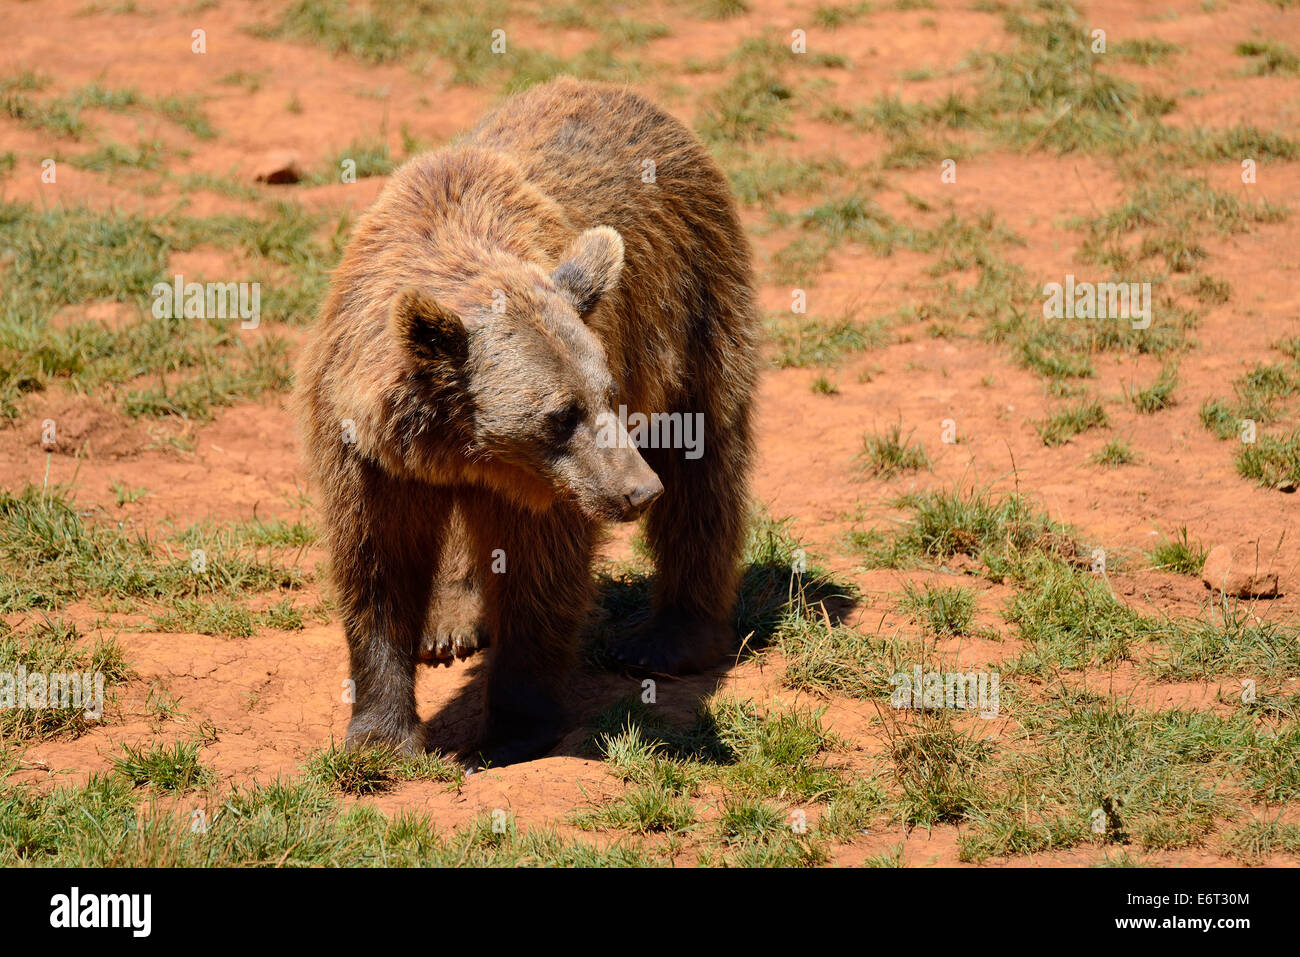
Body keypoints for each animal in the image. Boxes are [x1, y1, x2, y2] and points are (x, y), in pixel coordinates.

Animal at [295, 77, 758, 768]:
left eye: (607, 393)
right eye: (562, 414)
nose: (637, 490)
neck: (462, 447)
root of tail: (626, 94)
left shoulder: (550, 483)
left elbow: (539, 570)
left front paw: (513, 728)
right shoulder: (367, 451)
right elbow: (378, 565)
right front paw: (380, 735)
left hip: (695, 301)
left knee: (705, 461)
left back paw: (668, 638)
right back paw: (450, 622)